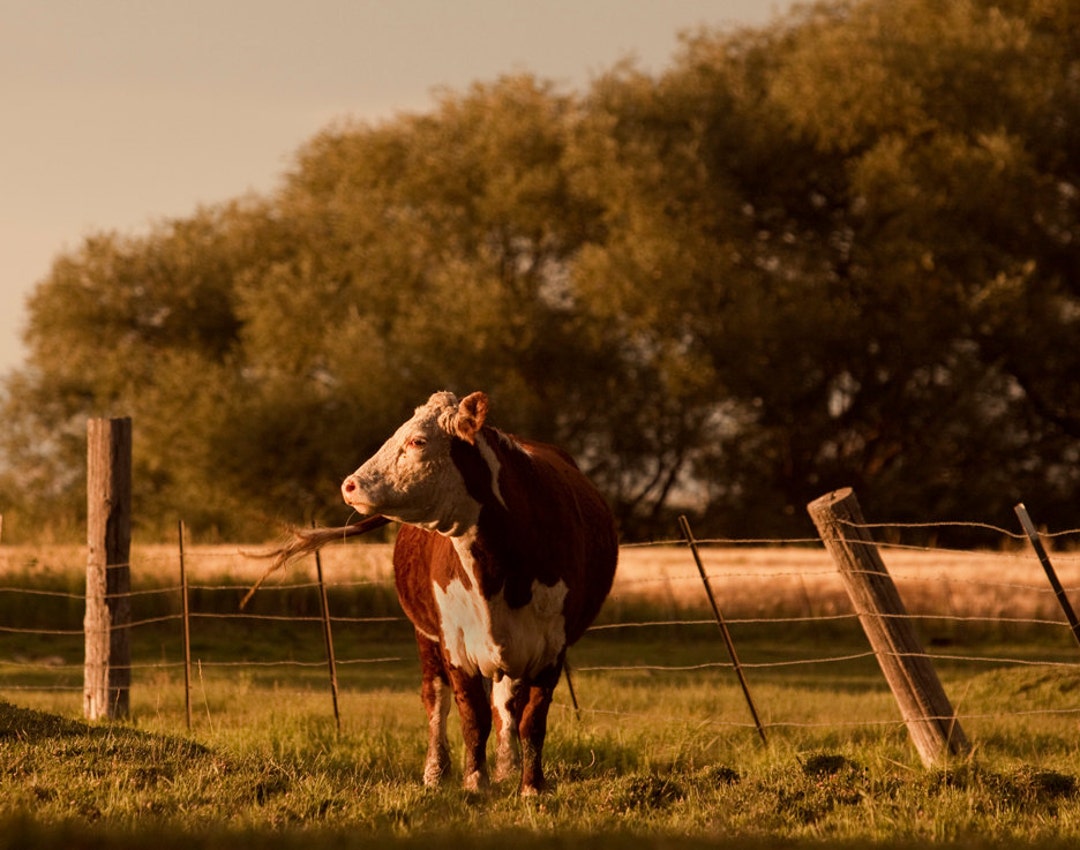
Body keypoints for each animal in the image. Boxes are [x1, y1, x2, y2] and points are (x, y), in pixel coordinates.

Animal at [340, 390, 618, 795]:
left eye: (417, 441)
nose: (349, 485)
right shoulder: (456, 646)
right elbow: (473, 716)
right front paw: (474, 782)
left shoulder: (551, 648)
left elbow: (531, 719)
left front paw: (531, 785)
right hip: (425, 635)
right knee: (435, 699)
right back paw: (436, 772)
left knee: (505, 704)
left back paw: (507, 765)